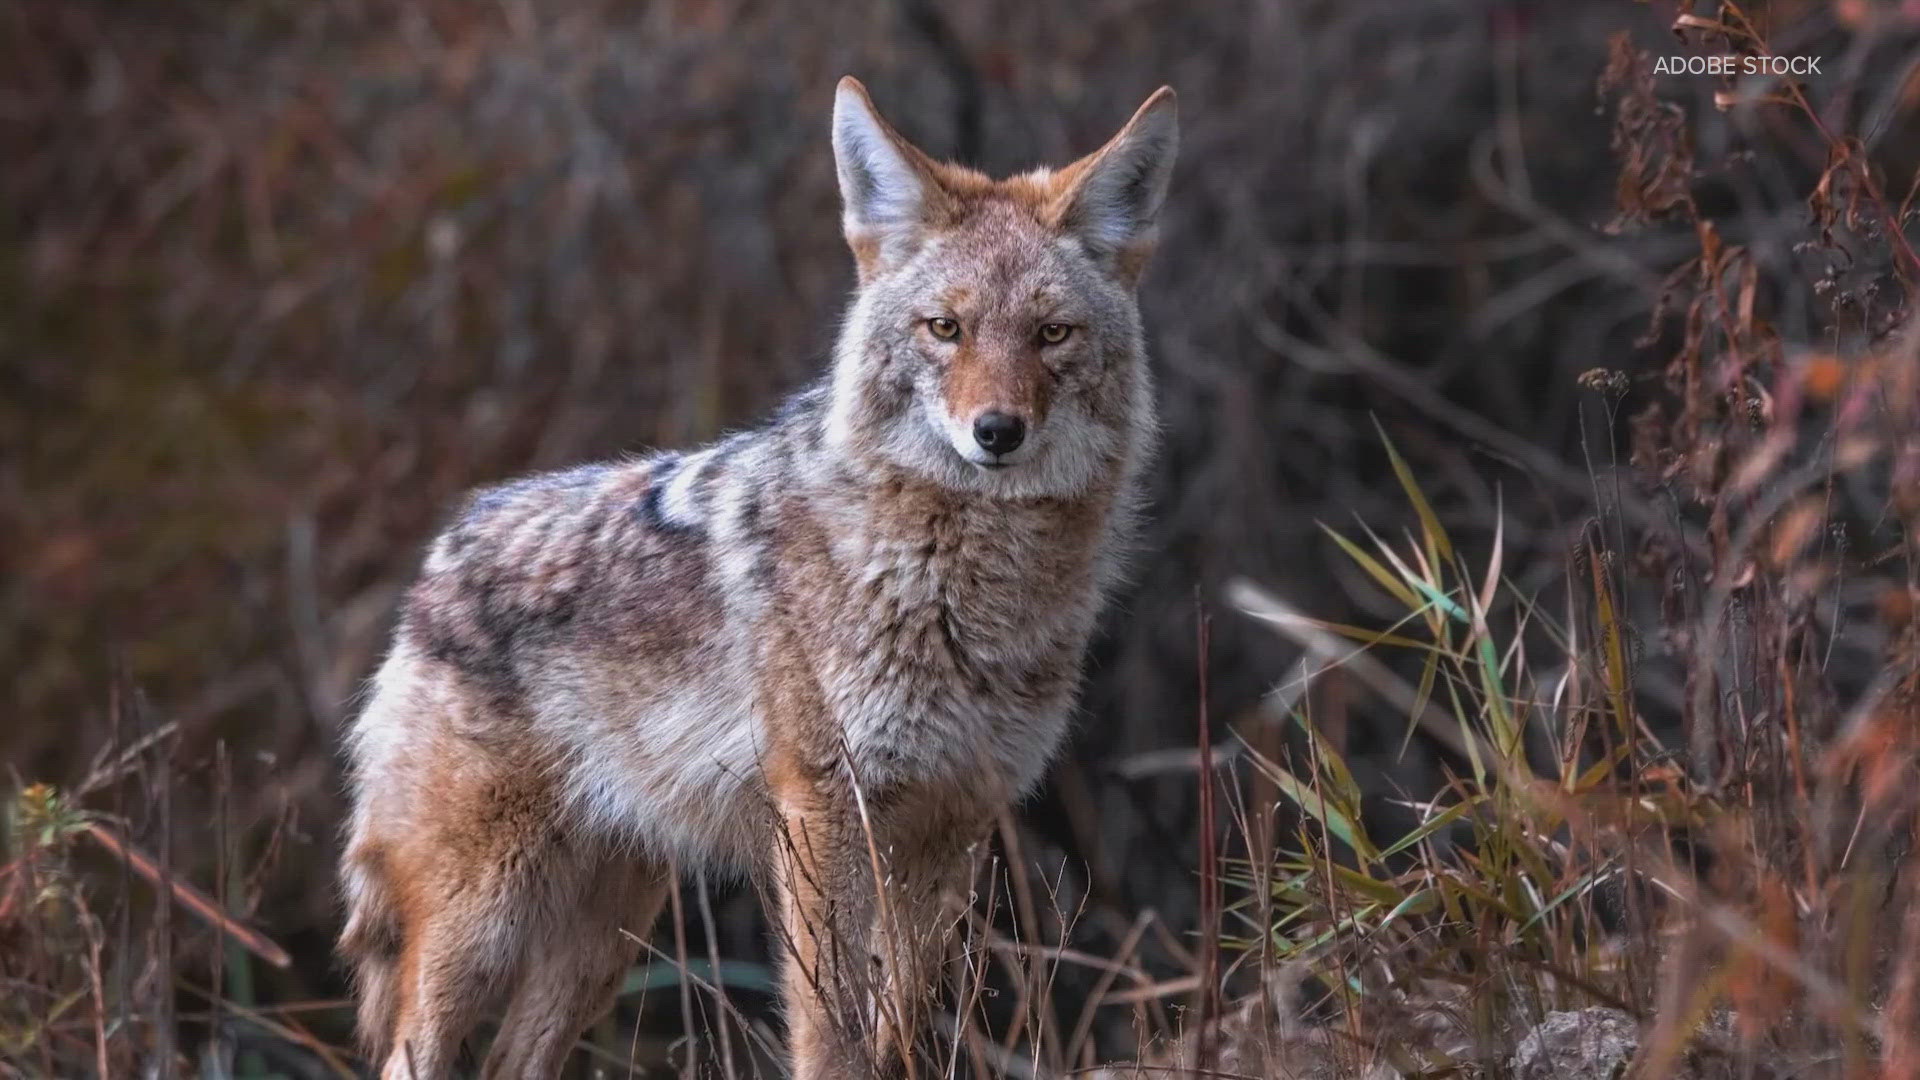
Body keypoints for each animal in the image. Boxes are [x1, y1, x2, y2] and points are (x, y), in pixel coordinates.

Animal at [337, 76, 1177, 1079]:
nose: (997, 432)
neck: (969, 585)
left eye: (1052, 334)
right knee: (409, 1055)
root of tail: (440, 557)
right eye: (946, 328)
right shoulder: (823, 808)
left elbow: (899, 1027)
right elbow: (831, 1029)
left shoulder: (953, 822)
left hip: (604, 939)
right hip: (481, 920)